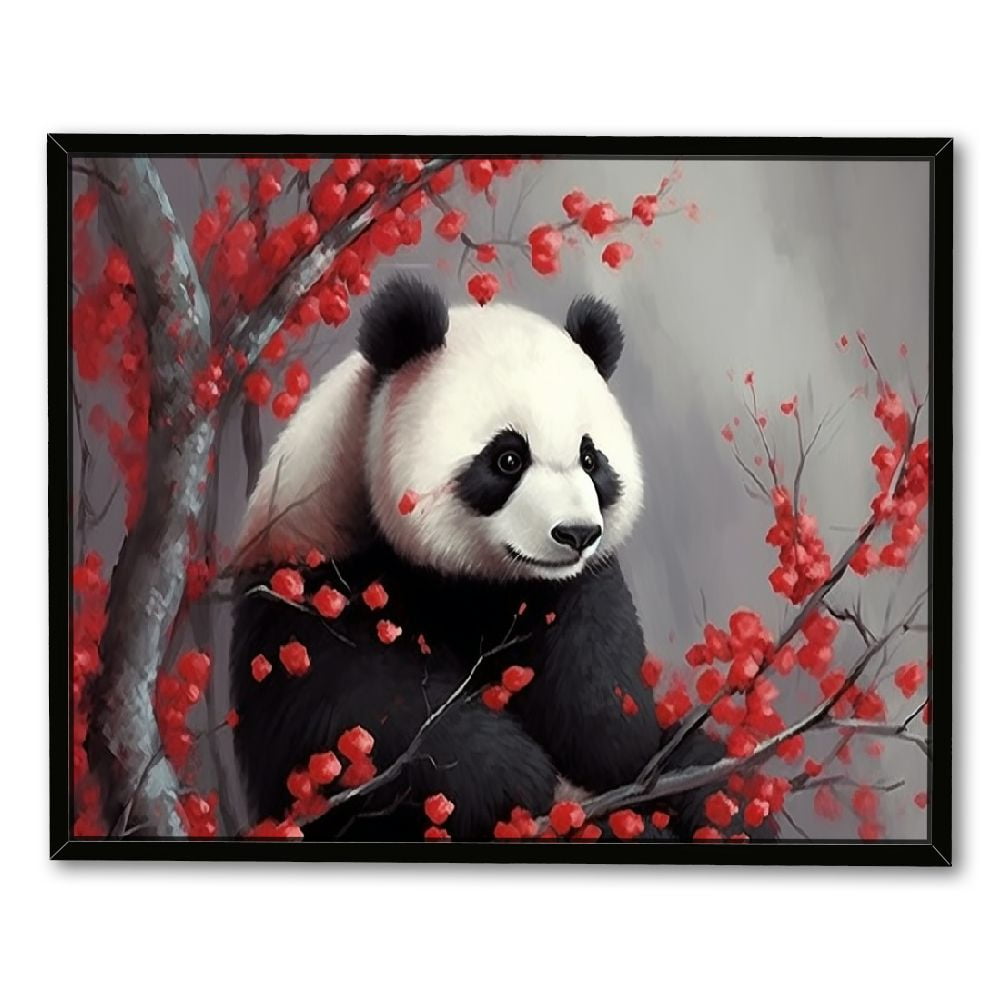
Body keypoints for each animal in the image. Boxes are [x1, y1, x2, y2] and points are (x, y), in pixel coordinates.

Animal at [230, 276, 774, 841]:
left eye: (590, 458)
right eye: (508, 458)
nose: (576, 533)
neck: (473, 580)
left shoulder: (574, 589)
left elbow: (606, 694)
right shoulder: (308, 579)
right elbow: (367, 709)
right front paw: (515, 778)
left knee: (714, 774)